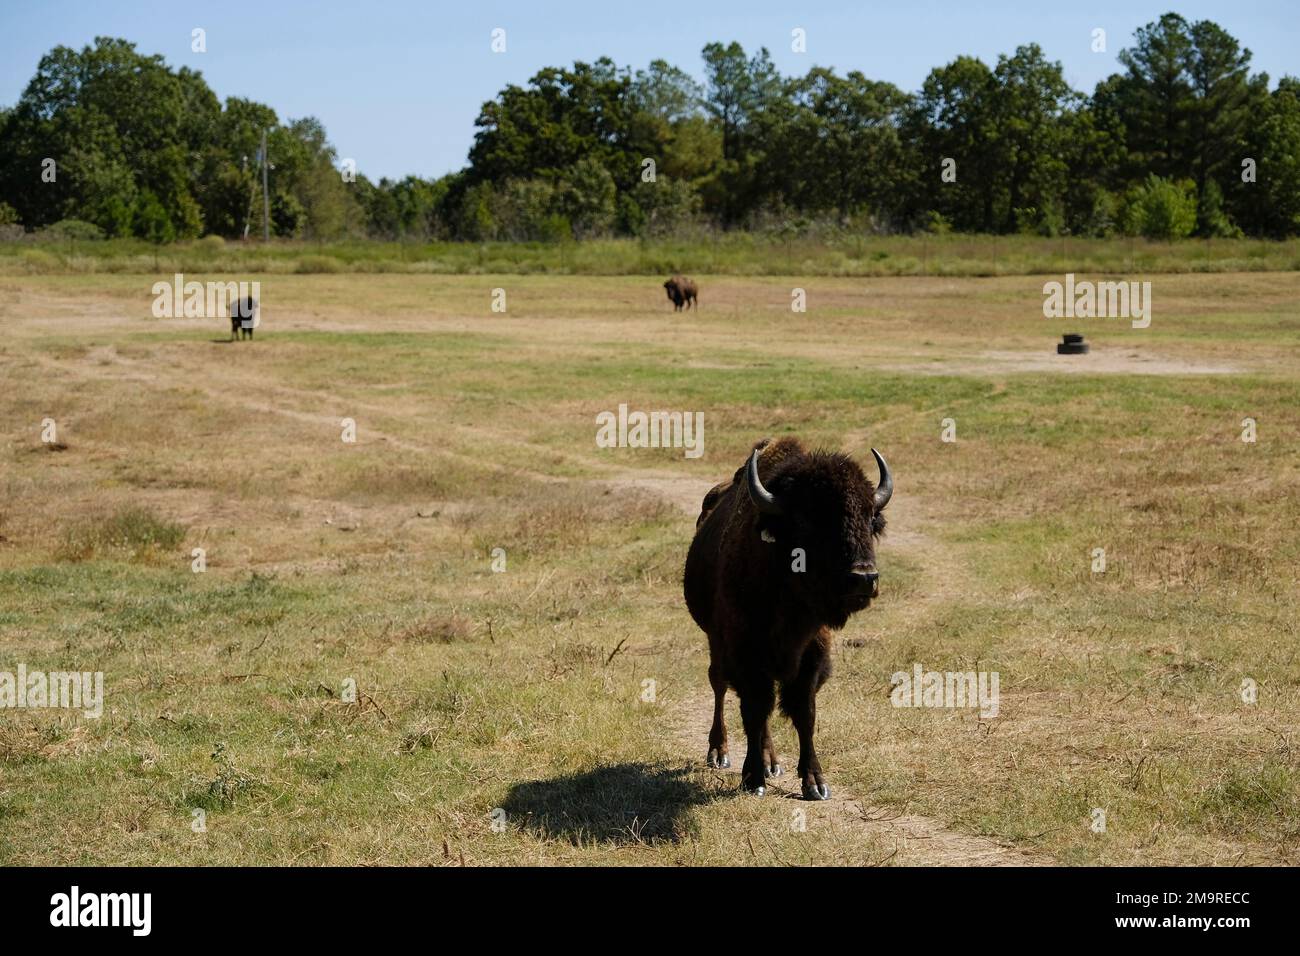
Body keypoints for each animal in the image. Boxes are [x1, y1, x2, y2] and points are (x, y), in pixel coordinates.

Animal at [683, 436, 893, 799]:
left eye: (870, 518)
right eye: (808, 520)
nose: (864, 577)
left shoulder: (812, 655)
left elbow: (803, 713)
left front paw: (815, 784)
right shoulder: (744, 652)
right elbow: (754, 709)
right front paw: (753, 779)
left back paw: (772, 762)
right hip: (715, 641)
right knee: (720, 685)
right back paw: (720, 753)